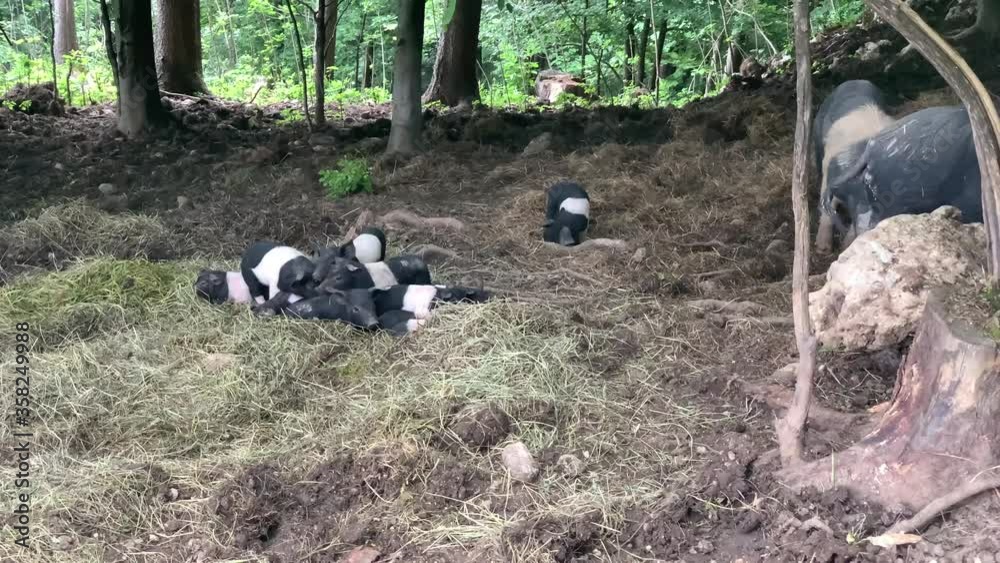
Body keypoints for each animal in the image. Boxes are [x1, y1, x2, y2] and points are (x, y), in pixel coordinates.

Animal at [812, 80, 896, 253]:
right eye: (867, 191)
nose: (870, 227)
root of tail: (856, 80)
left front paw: (846, 245)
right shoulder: (829, 166)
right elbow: (826, 204)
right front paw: (823, 248)